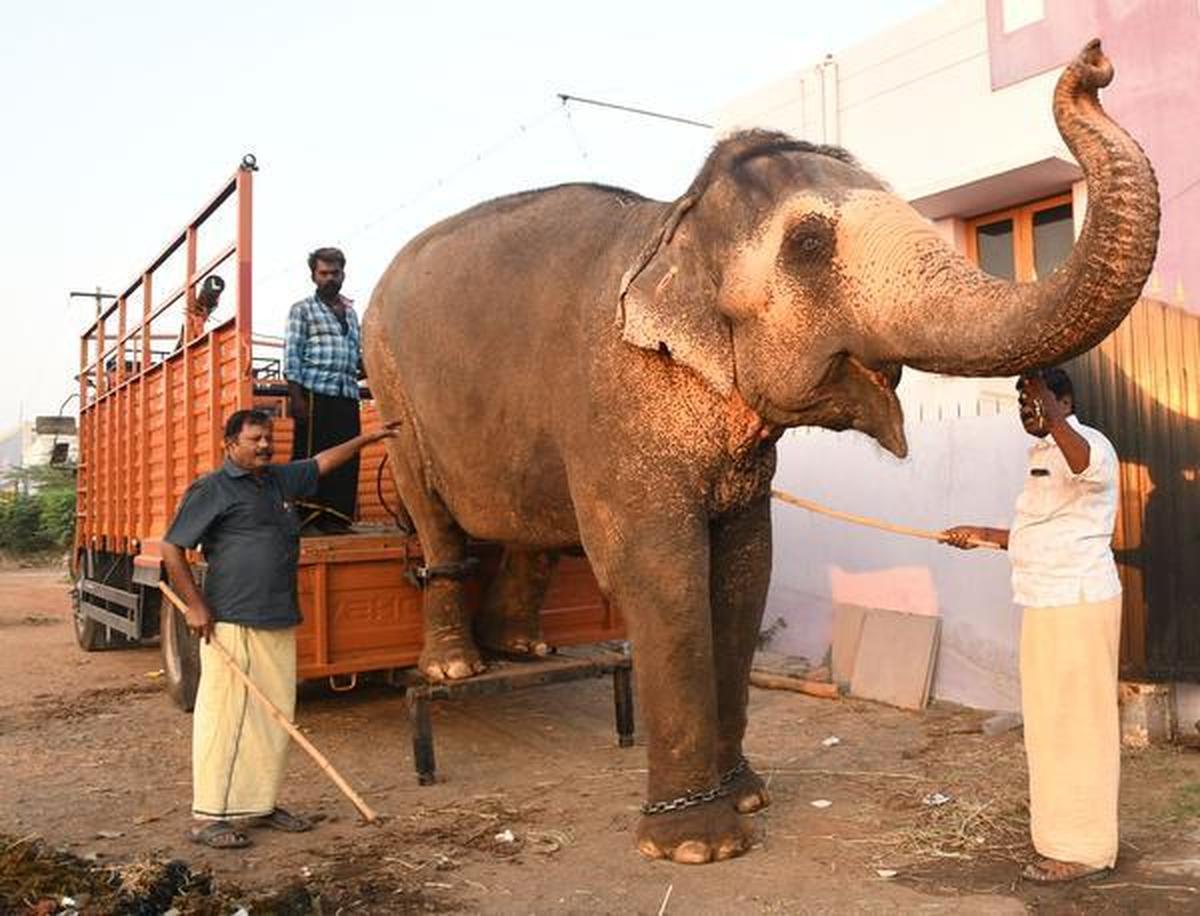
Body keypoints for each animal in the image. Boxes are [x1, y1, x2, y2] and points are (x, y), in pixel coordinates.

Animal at [362, 40, 1158, 864]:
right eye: (809, 245)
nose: (1095, 63)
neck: (672, 224)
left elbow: (747, 571)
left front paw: (747, 796)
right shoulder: (614, 404)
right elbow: (661, 571)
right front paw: (696, 847)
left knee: (530, 532)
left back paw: (523, 650)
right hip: (391, 387)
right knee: (434, 519)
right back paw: (456, 666)